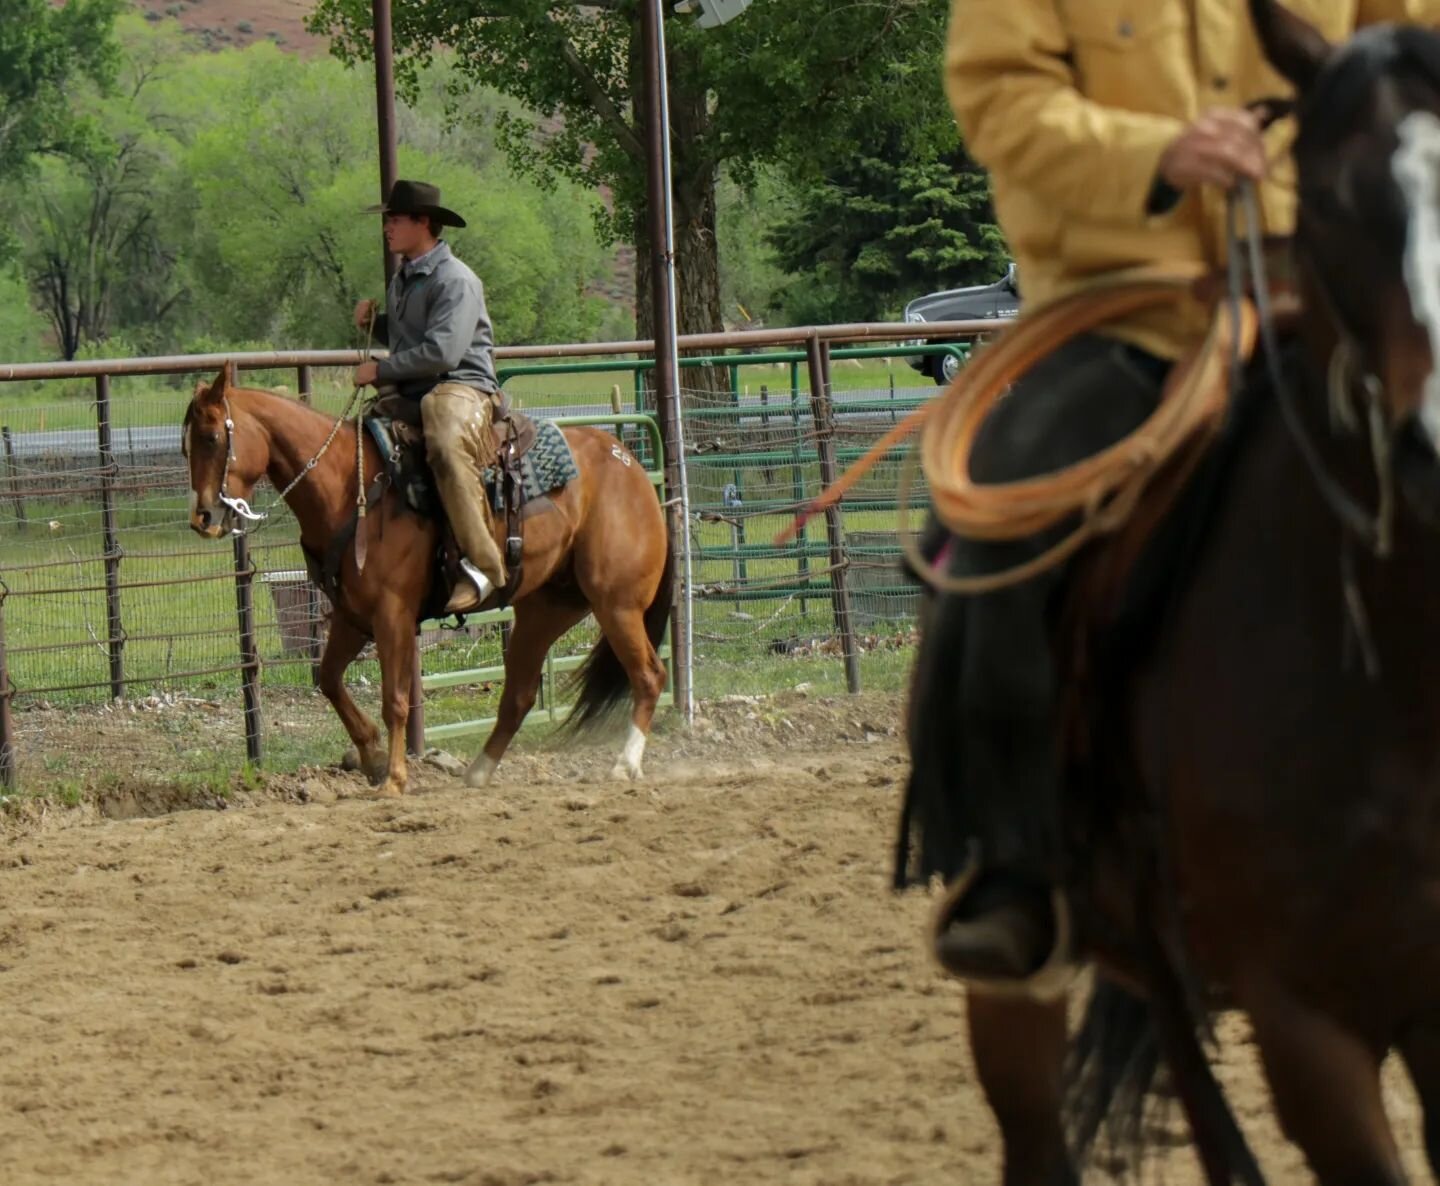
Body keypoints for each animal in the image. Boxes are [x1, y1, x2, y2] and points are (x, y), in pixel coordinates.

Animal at [182, 371, 671, 794]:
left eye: (212, 438)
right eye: (185, 446)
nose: (203, 518)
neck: (350, 487)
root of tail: (632, 468)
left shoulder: (392, 615)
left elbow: (396, 698)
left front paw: (395, 778)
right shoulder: (352, 617)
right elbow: (329, 680)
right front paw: (373, 758)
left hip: (617, 604)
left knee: (648, 675)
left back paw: (625, 764)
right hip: (546, 608)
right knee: (519, 694)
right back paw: (478, 771)